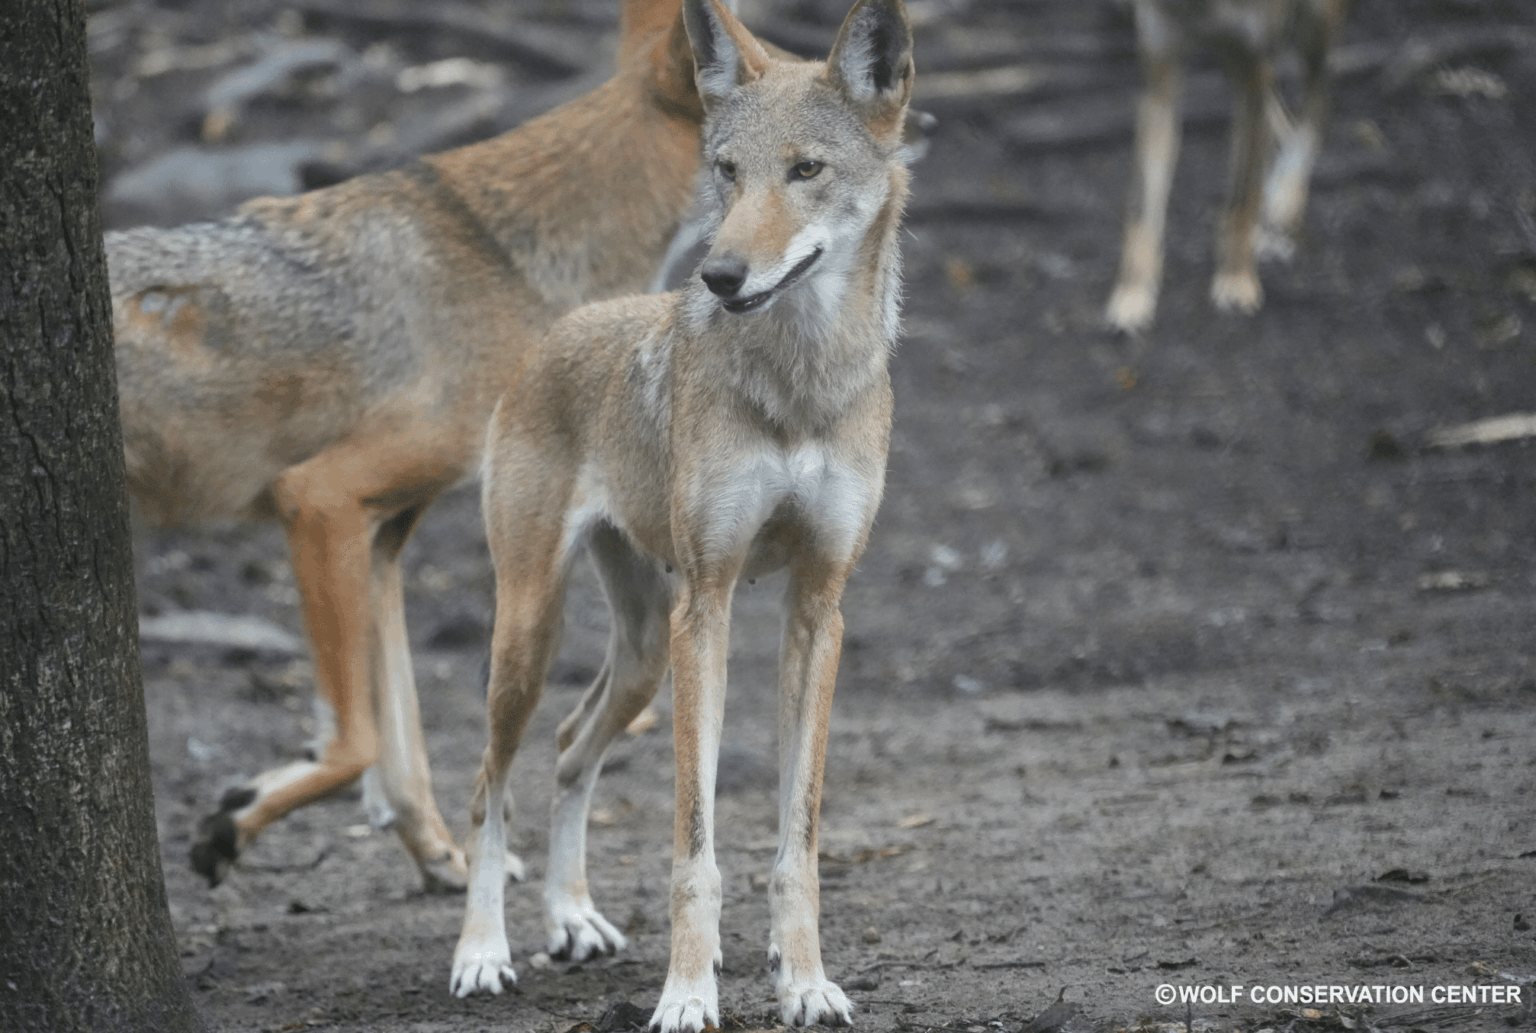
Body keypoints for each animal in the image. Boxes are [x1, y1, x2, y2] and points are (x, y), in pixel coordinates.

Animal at [445, 0, 915, 1029]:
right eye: (727, 171)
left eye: (806, 170)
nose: (721, 275)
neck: (800, 385)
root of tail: (560, 330)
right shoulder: (712, 602)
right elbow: (693, 848)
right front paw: (689, 996)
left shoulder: (818, 607)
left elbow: (797, 839)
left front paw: (805, 981)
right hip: (535, 636)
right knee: (490, 787)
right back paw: (483, 952)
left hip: (644, 657)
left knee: (570, 749)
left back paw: (573, 918)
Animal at [1105, 0, 1349, 332]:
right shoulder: (1159, 80)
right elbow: (1142, 211)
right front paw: (1132, 295)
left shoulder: (1254, 68)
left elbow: (1242, 198)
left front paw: (1237, 280)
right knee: (1283, 115)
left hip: (1314, 27)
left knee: (1319, 102)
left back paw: (1284, 202)